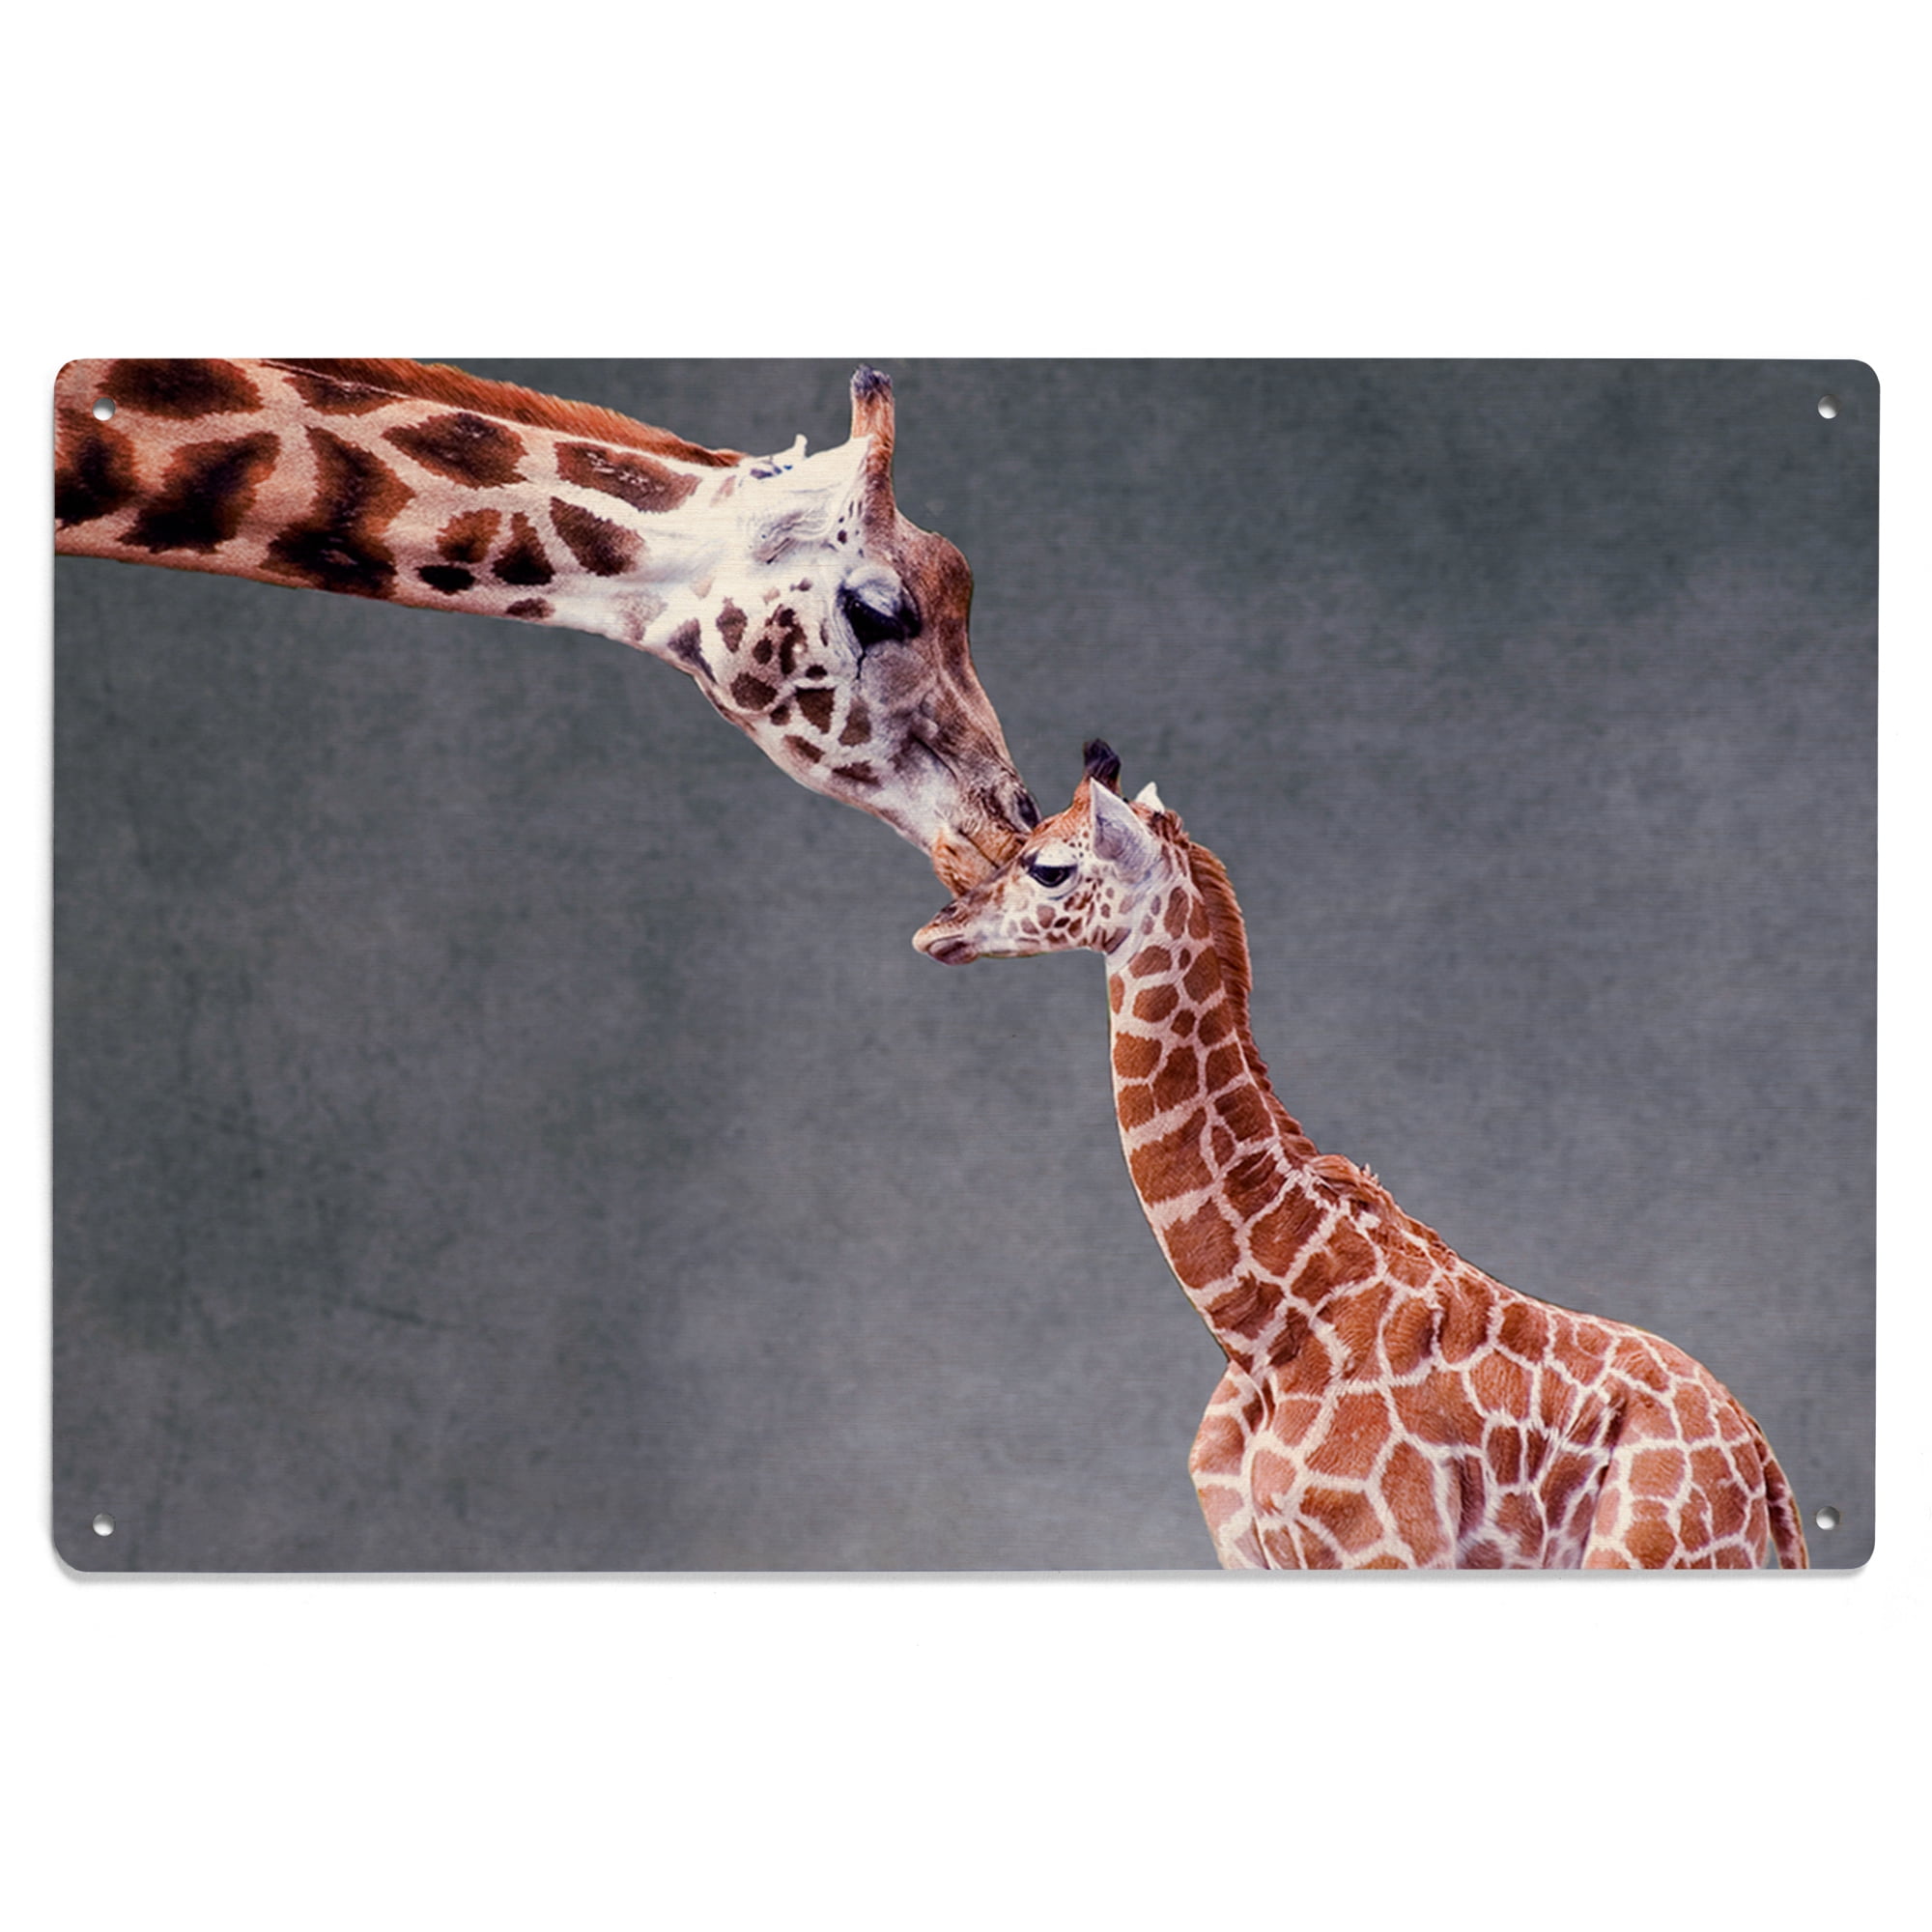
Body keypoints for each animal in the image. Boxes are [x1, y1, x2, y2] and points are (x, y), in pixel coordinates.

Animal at [914, 744, 1809, 1570]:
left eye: (1049, 866)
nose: (937, 928)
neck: (1262, 1324)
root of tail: (1759, 1455)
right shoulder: (1247, 1552)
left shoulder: (1386, 1547)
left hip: (1650, 1552)